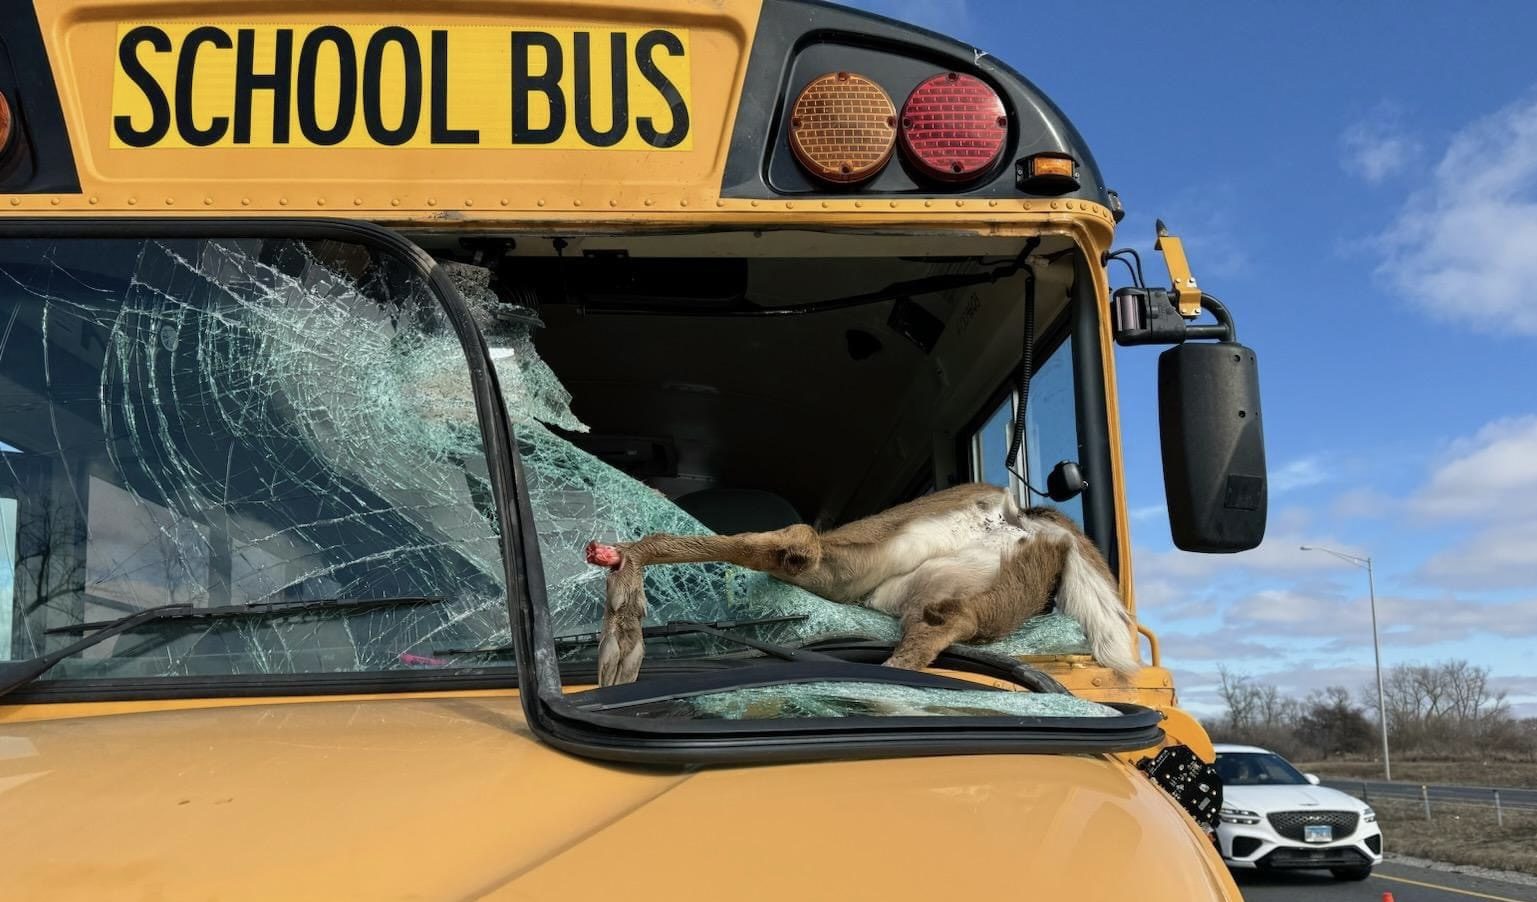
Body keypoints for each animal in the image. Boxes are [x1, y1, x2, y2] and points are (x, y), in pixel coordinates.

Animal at [585, 483, 1139, 687]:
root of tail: (1024, 513)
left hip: (862, 558)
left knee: (791, 543)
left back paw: (620, 622)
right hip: (925, 580)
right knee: (933, 629)